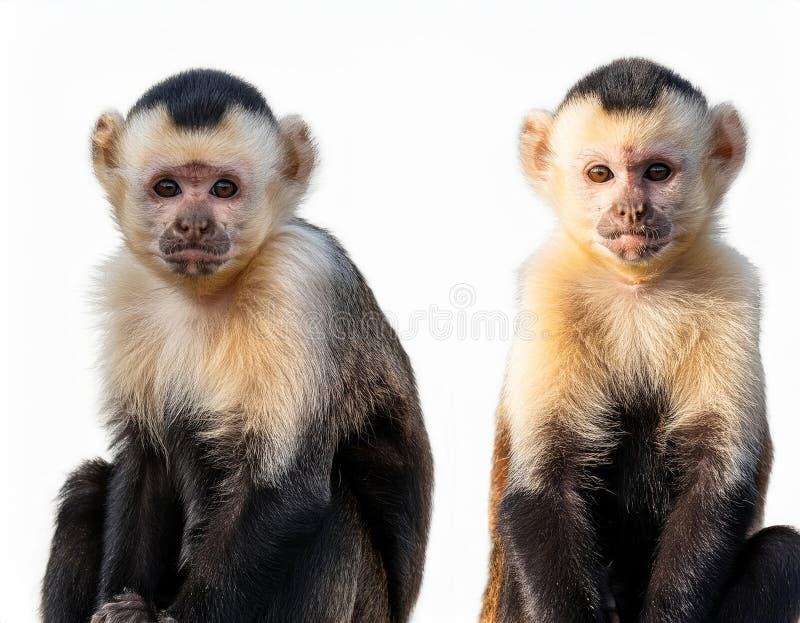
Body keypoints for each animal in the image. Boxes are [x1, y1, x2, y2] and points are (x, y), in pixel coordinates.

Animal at [40, 69, 433, 623]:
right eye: (167, 188)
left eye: (223, 189)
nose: (194, 223)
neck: (207, 295)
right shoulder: (127, 288)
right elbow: (145, 463)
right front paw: (122, 606)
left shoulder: (303, 277)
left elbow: (286, 495)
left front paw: (168, 620)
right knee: (87, 485)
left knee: (334, 512)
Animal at [480, 58, 800, 623]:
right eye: (600, 174)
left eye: (656, 172)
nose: (630, 209)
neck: (637, 288)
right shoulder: (548, 287)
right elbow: (543, 487)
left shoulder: (733, 286)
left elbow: (715, 483)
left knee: (784, 552)